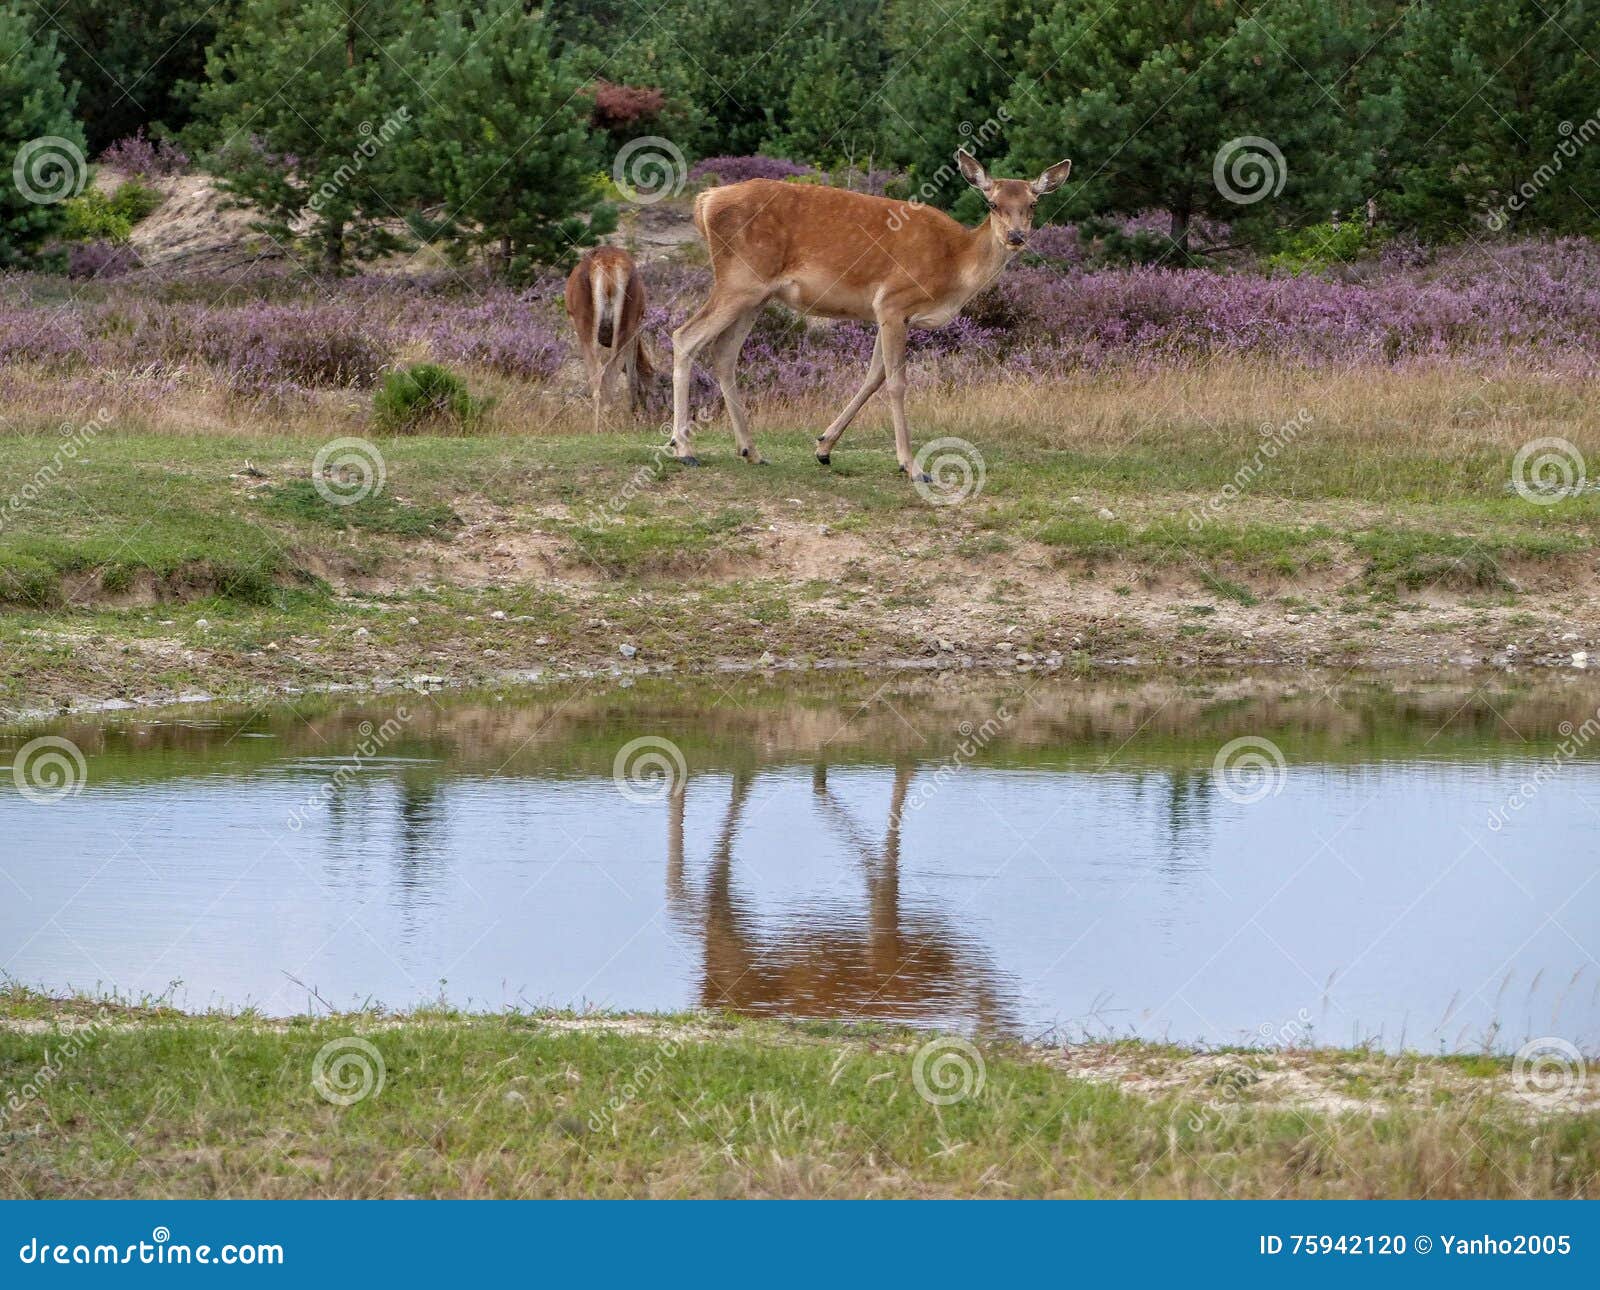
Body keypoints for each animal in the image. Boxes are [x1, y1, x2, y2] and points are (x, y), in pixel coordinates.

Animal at [564, 246, 653, 432]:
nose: (652, 414)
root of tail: (609, 268)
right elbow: (631, 374)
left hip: (585, 321)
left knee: (600, 373)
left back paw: (598, 428)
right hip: (627, 319)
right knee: (611, 372)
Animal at [669, 148, 1072, 477]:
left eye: (1033, 203)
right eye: (992, 203)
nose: (1016, 237)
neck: (955, 268)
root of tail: (705, 201)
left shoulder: (887, 313)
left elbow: (873, 376)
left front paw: (824, 447)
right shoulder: (894, 301)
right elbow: (895, 382)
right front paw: (911, 465)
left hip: (758, 294)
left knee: (724, 351)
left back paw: (750, 451)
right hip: (740, 280)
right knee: (684, 336)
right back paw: (684, 449)